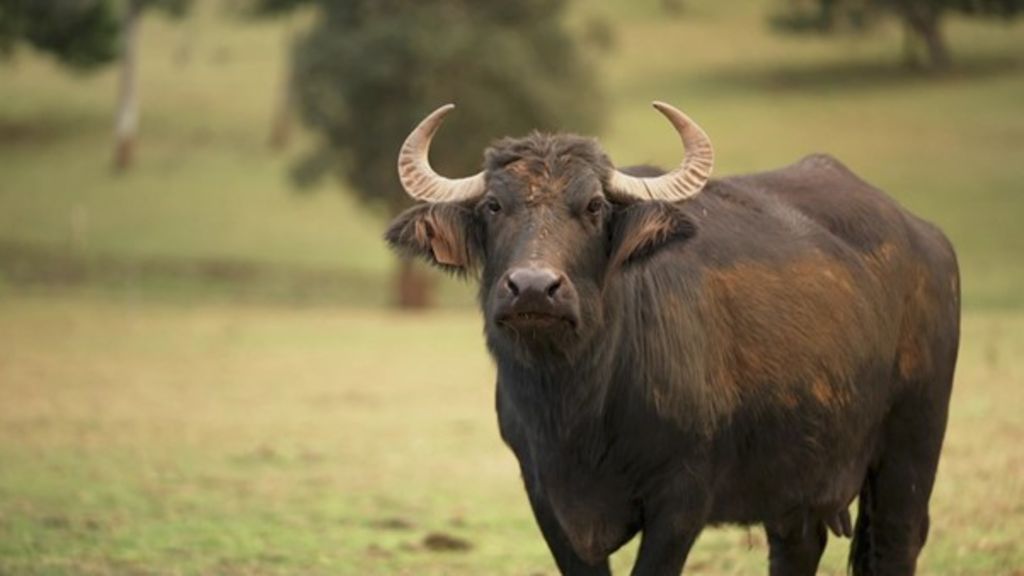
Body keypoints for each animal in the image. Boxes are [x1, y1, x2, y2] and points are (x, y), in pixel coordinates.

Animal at [385, 102, 960, 575]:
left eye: (593, 206)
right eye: (493, 206)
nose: (532, 288)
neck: (579, 407)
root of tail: (927, 238)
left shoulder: (682, 497)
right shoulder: (546, 495)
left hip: (911, 447)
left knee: (896, 543)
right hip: (795, 478)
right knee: (798, 547)